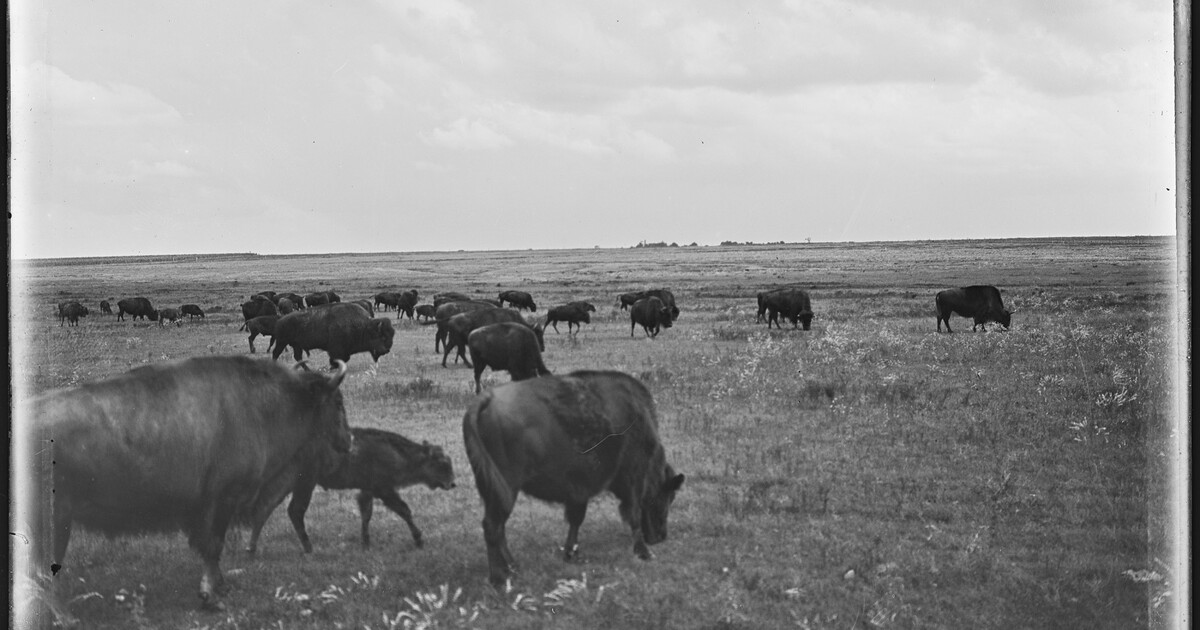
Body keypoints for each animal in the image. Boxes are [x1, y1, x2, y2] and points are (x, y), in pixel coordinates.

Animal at [21, 356, 353, 618]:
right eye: (338, 402)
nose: (347, 441)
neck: (268, 403)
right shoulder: (222, 501)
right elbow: (212, 546)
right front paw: (212, 598)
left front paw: (221, 588)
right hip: (56, 521)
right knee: (43, 572)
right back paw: (66, 618)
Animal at [245, 428, 456, 553]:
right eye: (442, 464)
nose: (452, 484)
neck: (396, 452)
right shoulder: (384, 489)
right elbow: (404, 510)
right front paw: (419, 540)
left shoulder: (367, 489)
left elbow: (366, 514)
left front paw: (366, 543)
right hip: (305, 484)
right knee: (294, 511)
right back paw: (308, 547)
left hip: (289, 483)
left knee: (266, 508)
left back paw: (252, 549)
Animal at [462, 370, 685, 586]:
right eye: (668, 495)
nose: (660, 536)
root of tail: (486, 399)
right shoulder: (633, 482)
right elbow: (634, 516)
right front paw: (644, 553)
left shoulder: (579, 492)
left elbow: (576, 520)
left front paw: (572, 554)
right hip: (506, 489)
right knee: (493, 527)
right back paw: (499, 577)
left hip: (493, 490)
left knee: (498, 528)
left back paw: (513, 567)